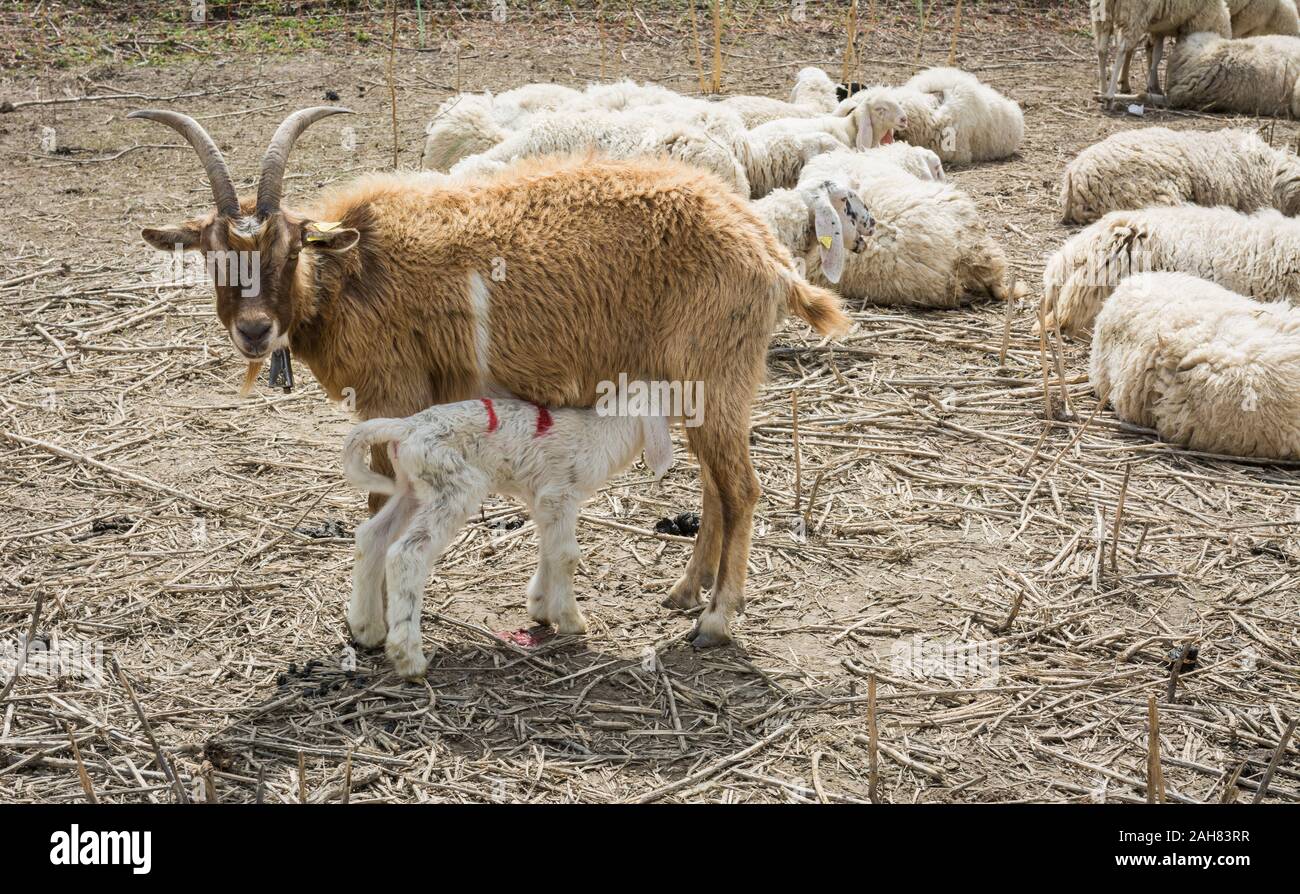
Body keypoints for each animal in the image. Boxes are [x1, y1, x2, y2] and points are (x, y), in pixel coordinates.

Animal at [342, 398, 674, 678]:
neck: (603, 433)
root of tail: (406, 426)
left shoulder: (542, 500)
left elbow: (549, 549)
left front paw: (541, 606)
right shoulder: (560, 494)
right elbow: (567, 555)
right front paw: (571, 620)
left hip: (412, 488)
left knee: (372, 537)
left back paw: (366, 629)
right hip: (453, 486)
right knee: (406, 554)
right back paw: (408, 658)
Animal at [1097, 0, 1232, 101]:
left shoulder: (1160, 31)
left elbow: (1157, 55)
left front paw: (1153, 86)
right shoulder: (1192, 26)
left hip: (1101, 11)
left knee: (1101, 49)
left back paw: (1102, 90)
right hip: (1134, 14)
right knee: (1121, 49)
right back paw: (1110, 95)